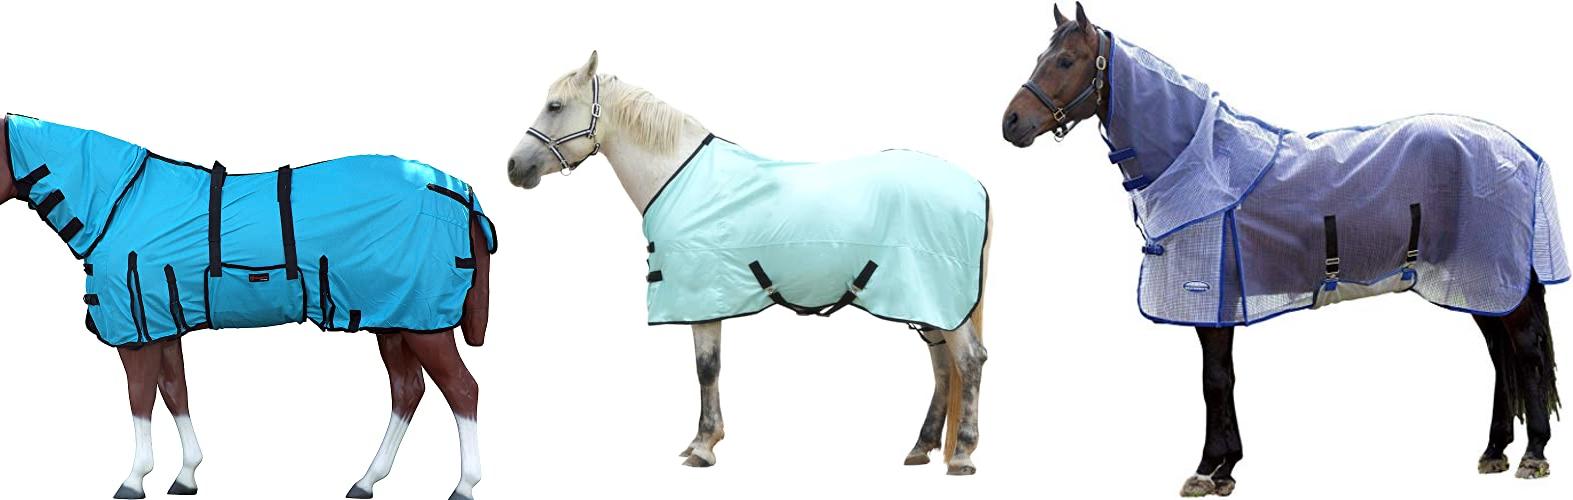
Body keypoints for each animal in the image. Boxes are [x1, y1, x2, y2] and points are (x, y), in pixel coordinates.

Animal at [1, 114, 496, 500]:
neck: (119, 202)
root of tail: (458, 190)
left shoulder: (136, 335)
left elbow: (140, 400)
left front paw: (134, 479)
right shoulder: (162, 325)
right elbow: (175, 392)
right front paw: (186, 475)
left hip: (425, 325)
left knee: (462, 389)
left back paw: (463, 485)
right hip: (393, 320)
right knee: (407, 390)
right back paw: (367, 481)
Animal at [505, 52, 993, 475]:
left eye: (554, 106)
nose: (514, 166)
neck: (679, 176)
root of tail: (975, 186)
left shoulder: (703, 297)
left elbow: (707, 368)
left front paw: (703, 446)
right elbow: (708, 367)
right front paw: (702, 440)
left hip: (937, 300)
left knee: (969, 361)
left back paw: (962, 455)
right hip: (927, 303)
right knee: (943, 365)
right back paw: (921, 447)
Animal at [999, 3, 1562, 496]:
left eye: (1065, 61)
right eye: (1040, 57)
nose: (1010, 123)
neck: (1202, 163)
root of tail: (1522, 151)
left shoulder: (1211, 302)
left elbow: (1213, 381)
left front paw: (1208, 469)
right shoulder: (1222, 305)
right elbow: (1222, 381)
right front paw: (1226, 468)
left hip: (1496, 281)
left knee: (1526, 353)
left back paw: (1533, 455)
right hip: (1481, 283)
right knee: (1500, 356)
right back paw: (1494, 451)